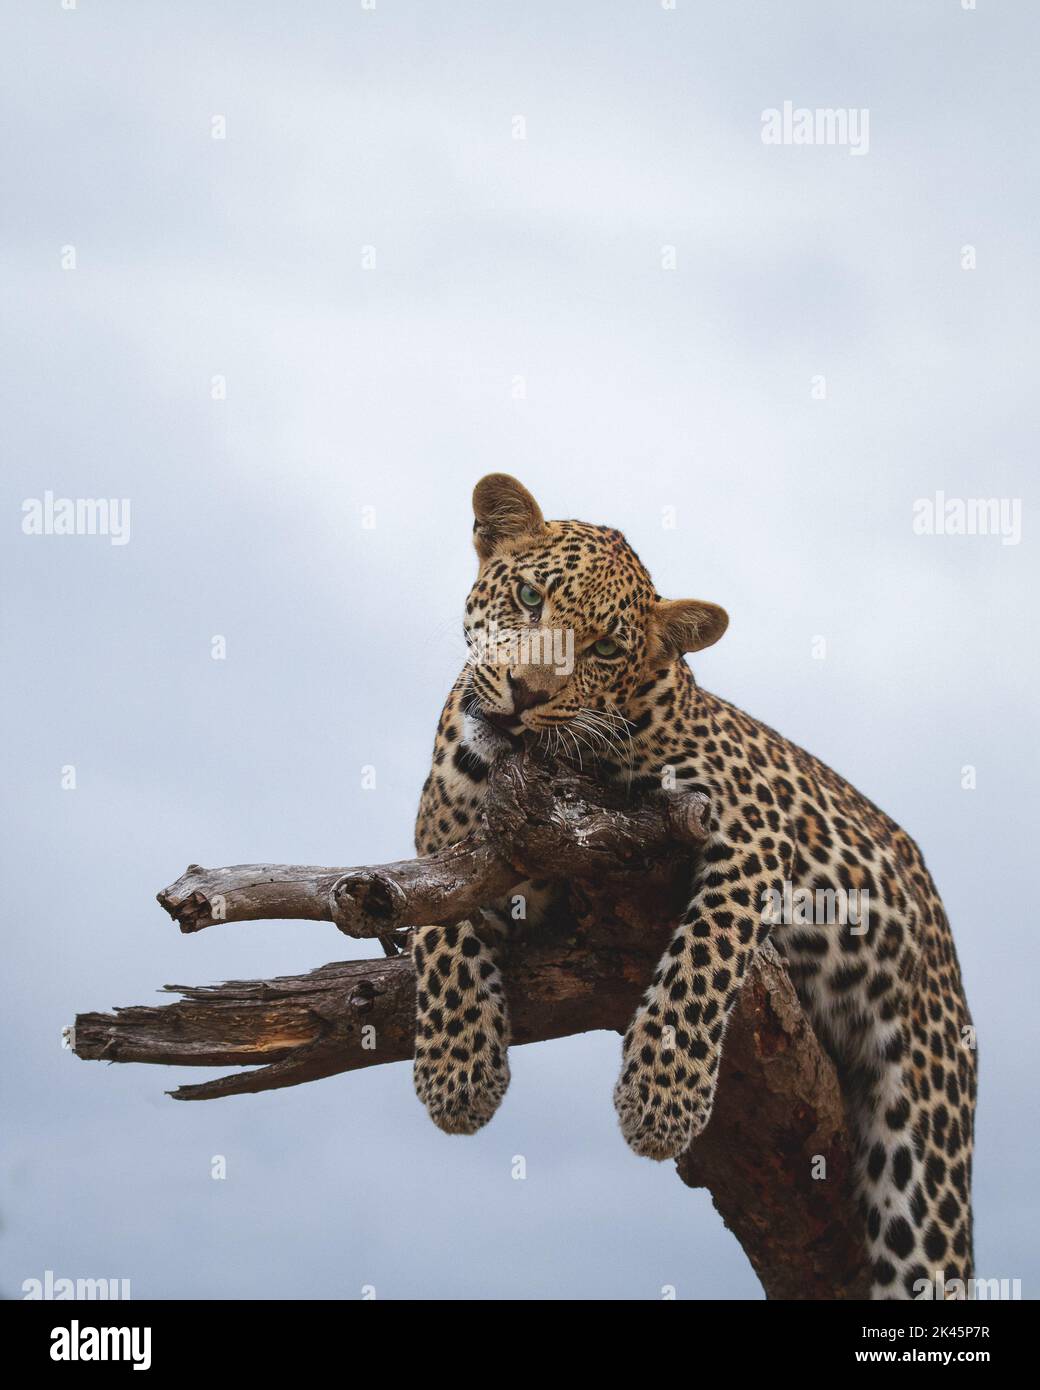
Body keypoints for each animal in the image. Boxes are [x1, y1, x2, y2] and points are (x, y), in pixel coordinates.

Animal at [410, 473, 976, 1301]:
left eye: (606, 647)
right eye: (527, 596)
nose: (525, 691)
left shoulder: (753, 824)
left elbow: (706, 953)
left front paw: (660, 1098)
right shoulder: (445, 845)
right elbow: (437, 920)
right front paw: (458, 1071)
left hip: (924, 1147)